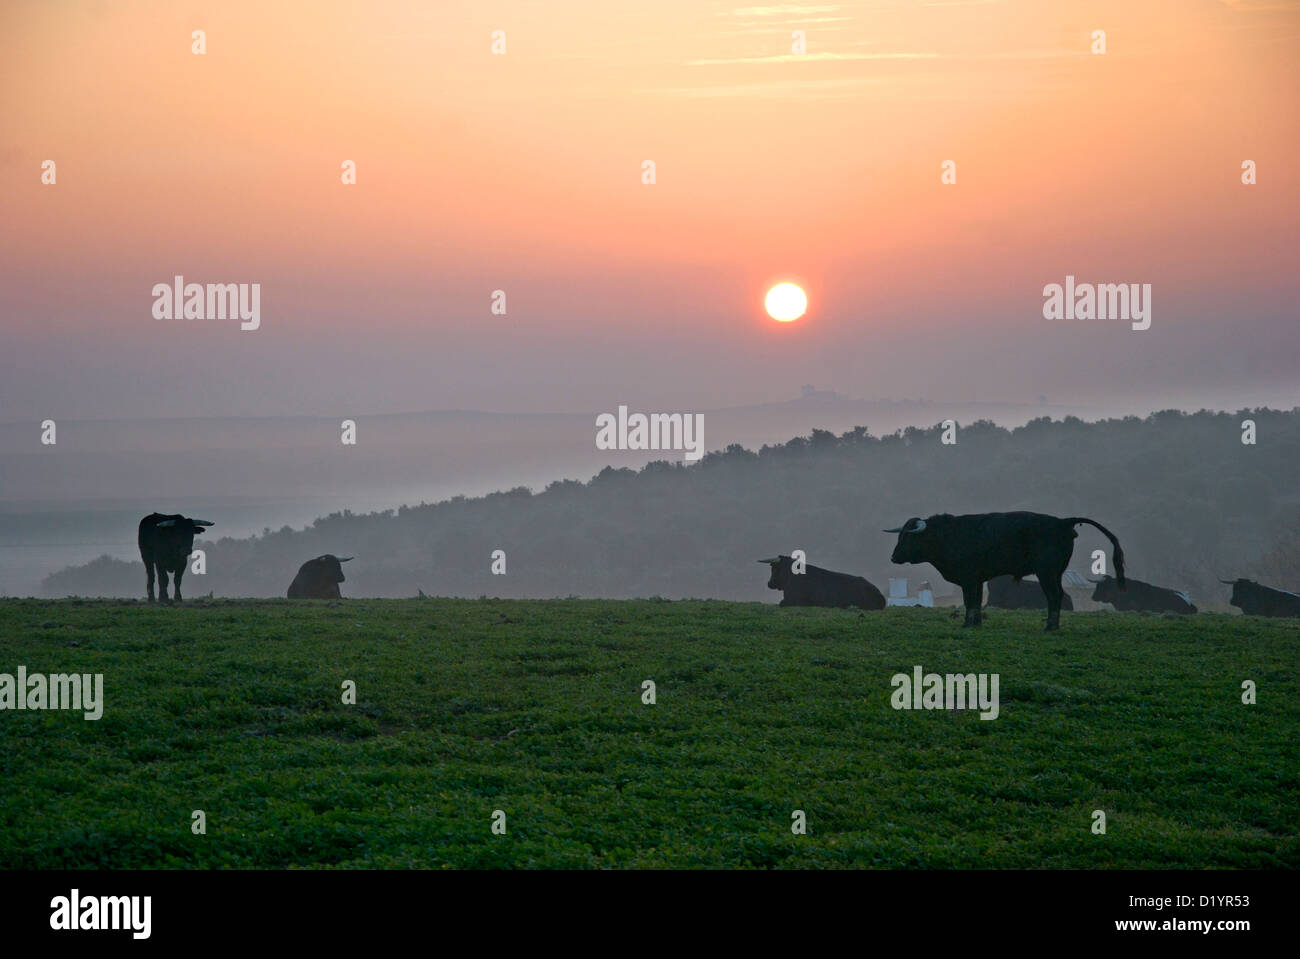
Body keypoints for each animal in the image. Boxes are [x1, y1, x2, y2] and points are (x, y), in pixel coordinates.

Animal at [885, 511, 1125, 630]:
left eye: (908, 537)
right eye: (899, 535)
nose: (893, 557)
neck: (948, 535)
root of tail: (1061, 522)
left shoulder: (968, 578)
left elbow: (969, 601)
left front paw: (967, 624)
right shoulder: (978, 579)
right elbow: (976, 602)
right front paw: (976, 623)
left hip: (1046, 572)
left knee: (1054, 596)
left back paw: (1050, 626)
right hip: (1056, 573)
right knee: (1058, 595)